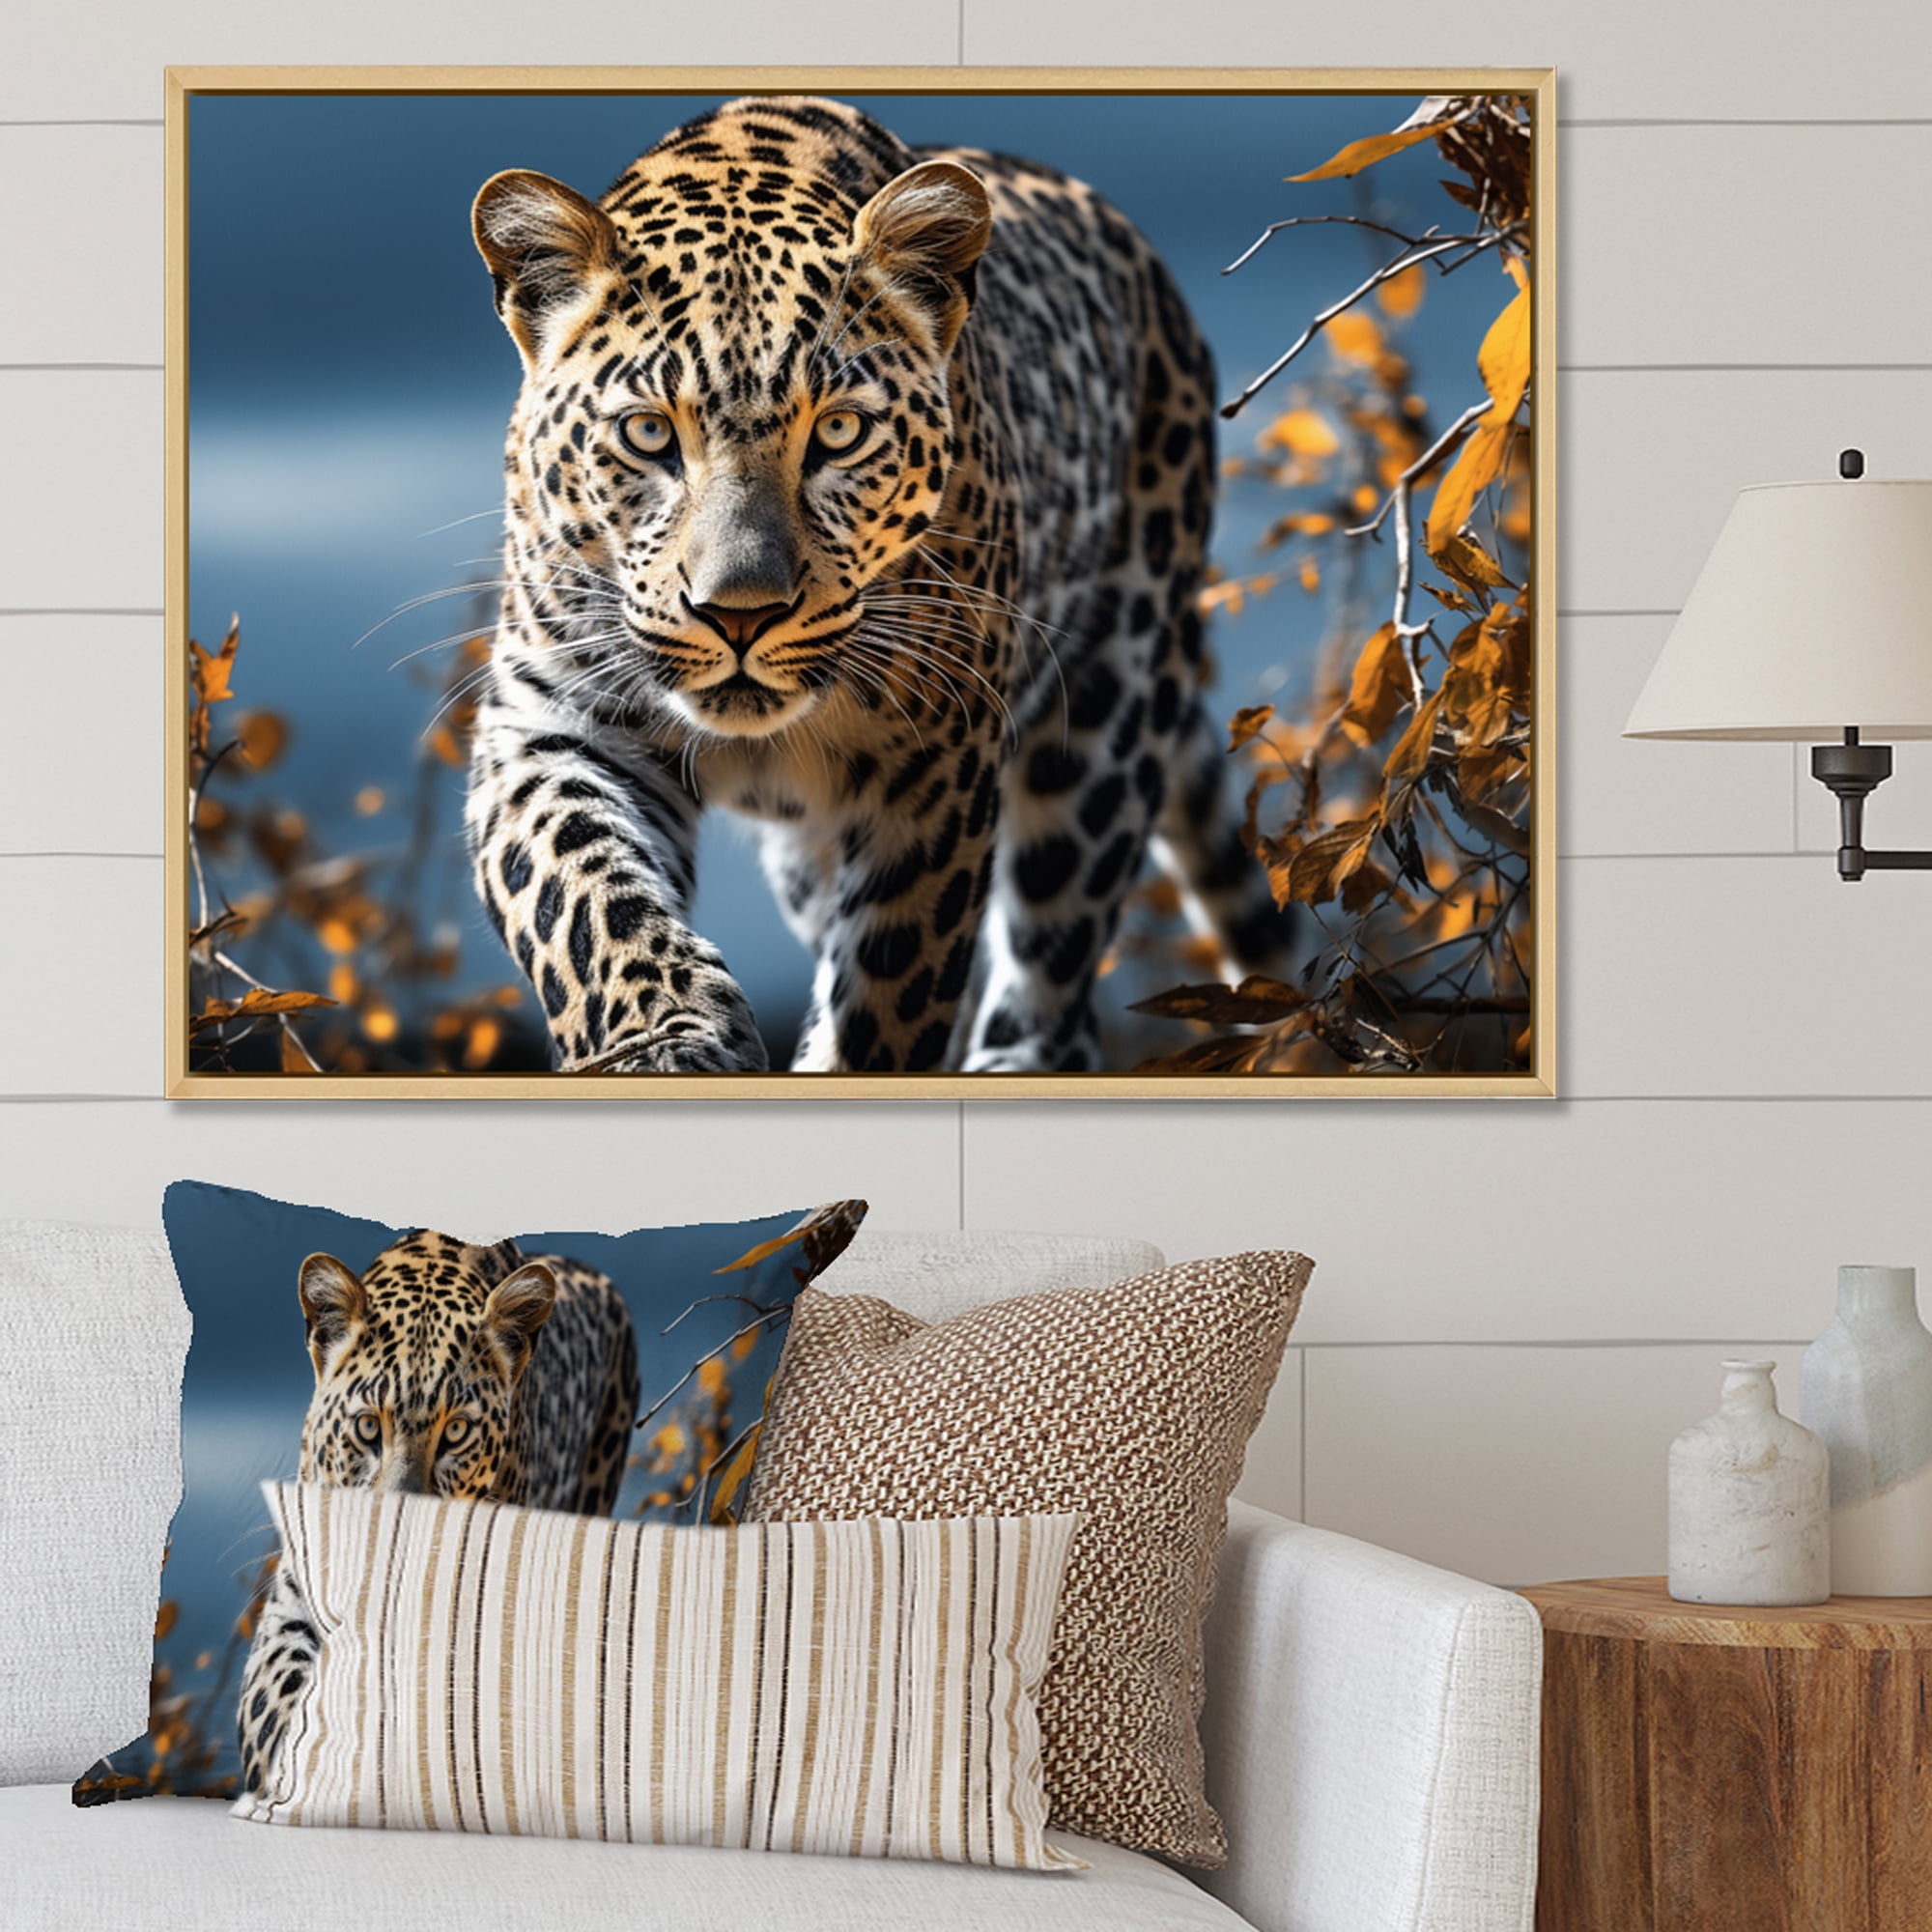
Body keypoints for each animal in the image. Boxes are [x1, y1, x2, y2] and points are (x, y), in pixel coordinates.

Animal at [464, 94, 1290, 1075]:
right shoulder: (554, 718)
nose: (740, 616)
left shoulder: (936, 760)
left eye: (840, 433)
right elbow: (581, 891)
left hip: (1104, 713)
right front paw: (663, 1038)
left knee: (1055, 976)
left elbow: (890, 984)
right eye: (648, 434)